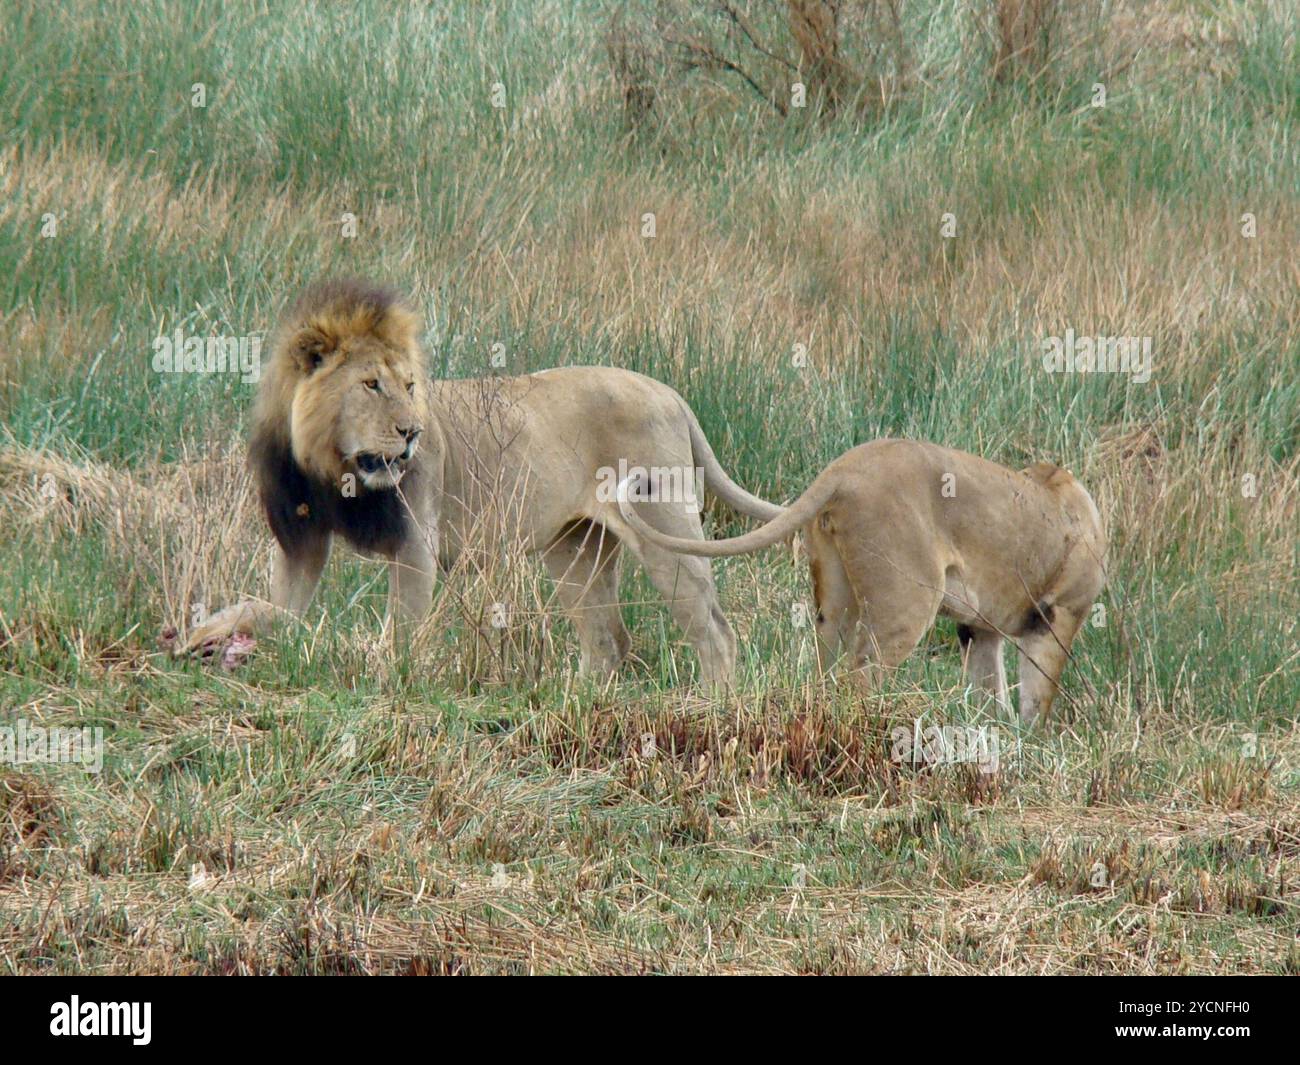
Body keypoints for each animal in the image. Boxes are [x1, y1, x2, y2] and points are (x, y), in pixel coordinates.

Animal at [179, 278, 781, 683]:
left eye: (410, 384)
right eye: (371, 384)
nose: (413, 432)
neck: (333, 468)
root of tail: (669, 392)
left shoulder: (414, 544)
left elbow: (402, 632)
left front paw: (391, 684)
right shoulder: (299, 541)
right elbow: (277, 609)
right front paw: (208, 633)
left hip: (665, 529)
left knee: (715, 631)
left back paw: (711, 705)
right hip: (575, 549)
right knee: (607, 640)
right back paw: (580, 700)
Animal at [615, 440, 1107, 722]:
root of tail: (842, 469)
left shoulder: (977, 627)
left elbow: (990, 689)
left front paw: (995, 734)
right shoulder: (1060, 612)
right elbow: (1040, 692)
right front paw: (1030, 739)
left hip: (832, 599)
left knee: (823, 668)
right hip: (907, 601)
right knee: (862, 677)